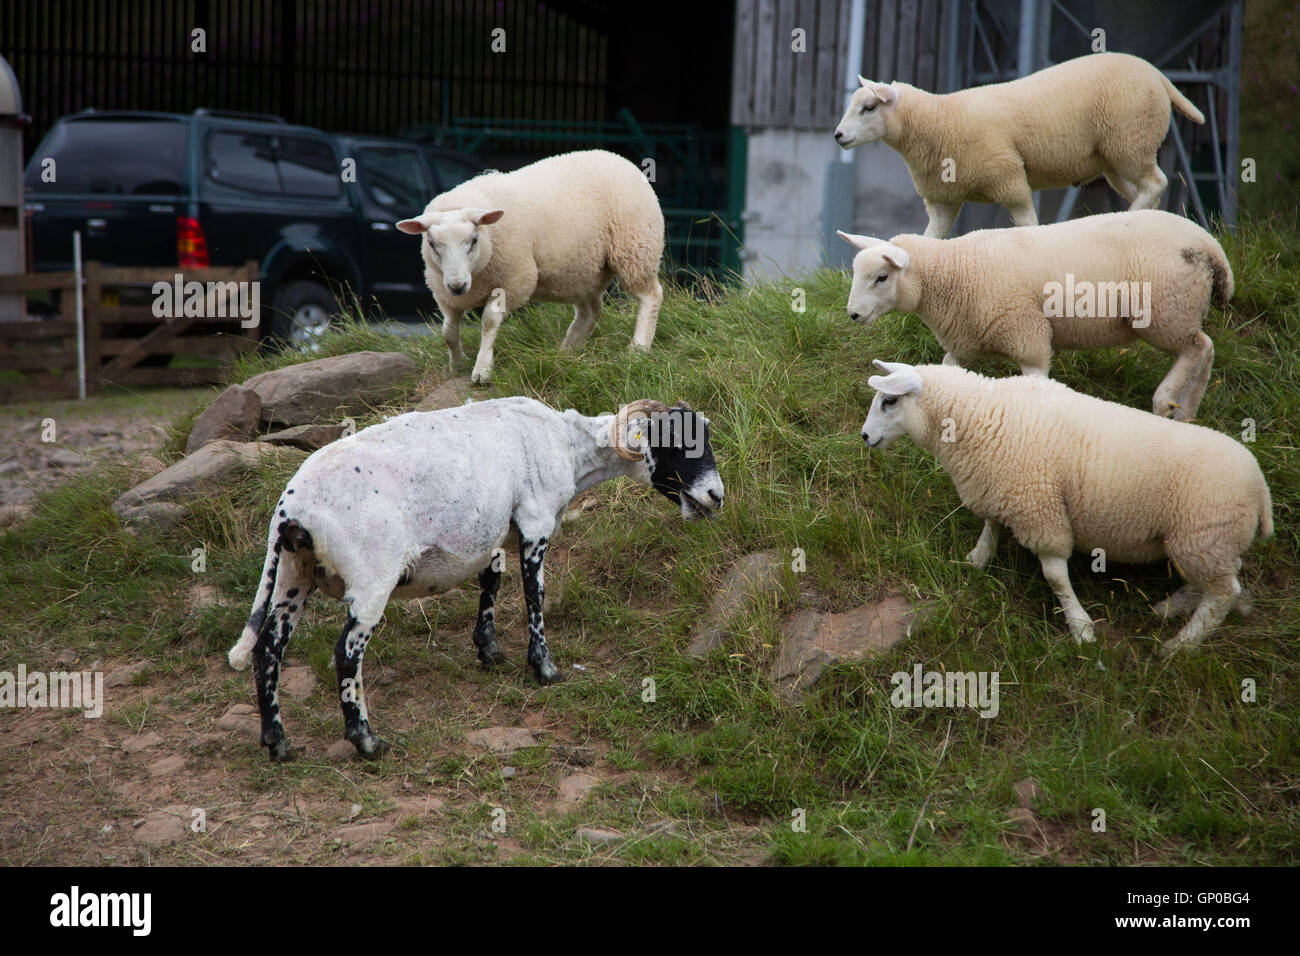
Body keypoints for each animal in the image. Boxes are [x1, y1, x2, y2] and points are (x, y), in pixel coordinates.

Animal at [225, 396, 724, 762]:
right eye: (675, 441)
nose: (717, 496)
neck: (568, 446)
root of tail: (290, 507)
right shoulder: (536, 522)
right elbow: (534, 594)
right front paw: (544, 668)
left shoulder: (494, 531)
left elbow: (491, 581)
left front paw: (490, 651)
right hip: (370, 576)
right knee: (346, 655)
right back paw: (366, 741)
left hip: (294, 574)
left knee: (268, 647)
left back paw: (277, 742)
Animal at [396, 149, 665, 385]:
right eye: (432, 243)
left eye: (473, 240)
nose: (457, 285)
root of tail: (618, 158)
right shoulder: (444, 293)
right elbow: (448, 331)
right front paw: (458, 364)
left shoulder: (514, 281)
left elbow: (489, 322)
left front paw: (482, 371)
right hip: (583, 271)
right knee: (590, 311)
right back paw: (566, 352)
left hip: (636, 248)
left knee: (649, 296)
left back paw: (638, 348)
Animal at [833, 52, 1205, 237]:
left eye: (869, 107)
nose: (837, 136)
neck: (939, 120)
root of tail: (1157, 75)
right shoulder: (943, 201)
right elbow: (930, 237)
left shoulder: (1009, 179)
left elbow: (1027, 224)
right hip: (1114, 159)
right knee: (1147, 190)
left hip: (1131, 141)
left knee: (1156, 182)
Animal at [837, 210, 1233, 421]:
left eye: (881, 277)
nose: (852, 314)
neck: (954, 272)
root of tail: (1210, 246)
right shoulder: (964, 343)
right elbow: (943, 373)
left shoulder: (1029, 340)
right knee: (1206, 350)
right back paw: (1187, 411)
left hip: (1167, 311)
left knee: (1198, 347)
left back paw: (1166, 400)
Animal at [861, 360, 1272, 655]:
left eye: (889, 400)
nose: (864, 436)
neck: (983, 413)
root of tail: (1260, 488)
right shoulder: (1003, 486)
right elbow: (991, 524)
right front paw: (979, 557)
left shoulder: (1040, 509)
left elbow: (1056, 576)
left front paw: (1080, 627)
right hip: (1207, 543)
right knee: (1220, 580)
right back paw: (1174, 606)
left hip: (1202, 535)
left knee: (1223, 594)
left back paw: (1181, 645)